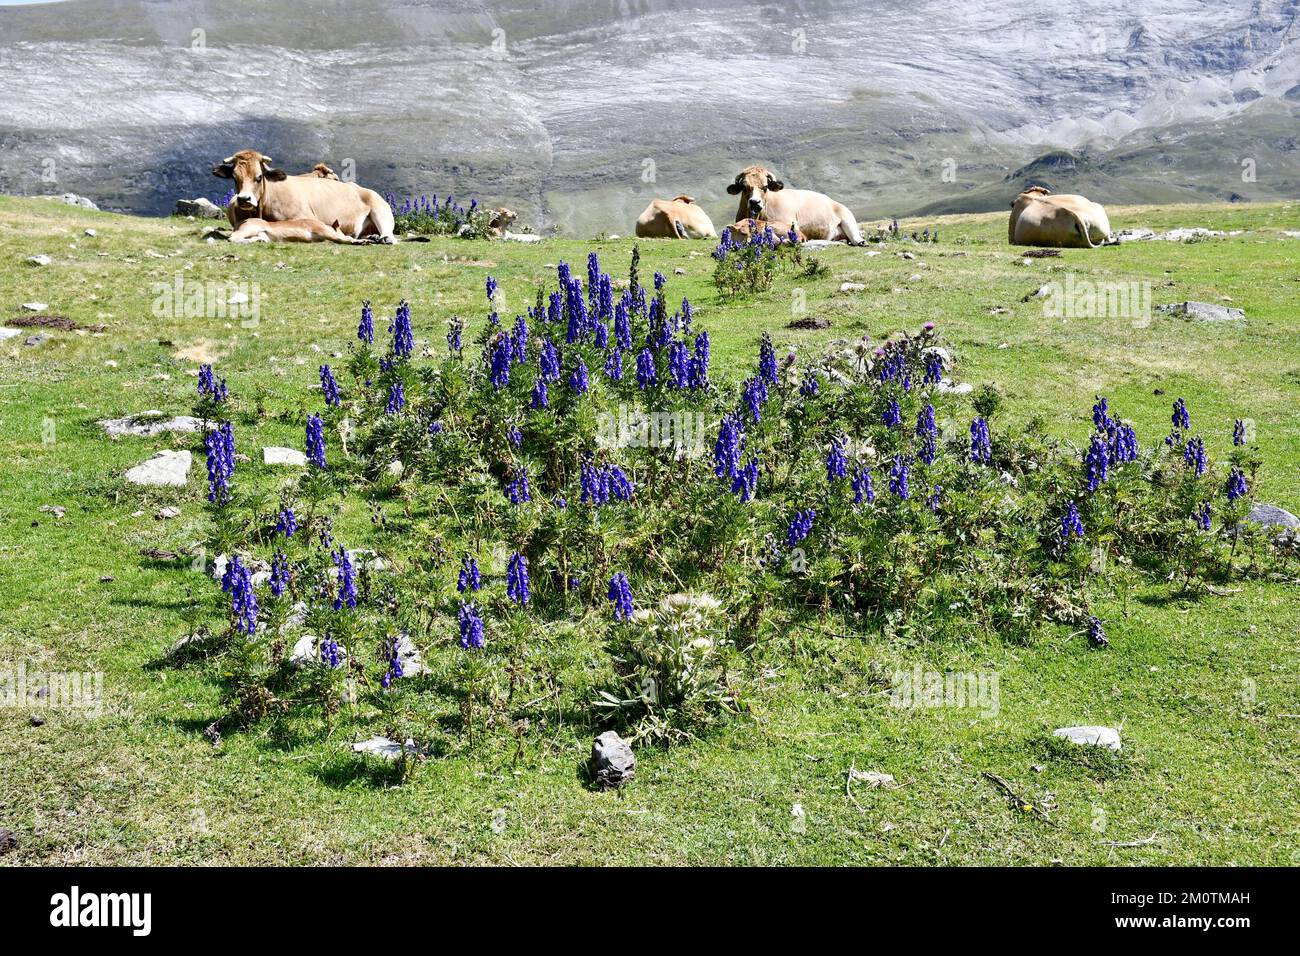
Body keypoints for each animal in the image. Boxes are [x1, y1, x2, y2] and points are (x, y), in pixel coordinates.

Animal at [213, 150, 395, 242]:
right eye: (234, 178)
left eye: (259, 176)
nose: (244, 199)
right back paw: (372, 236)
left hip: (380, 209)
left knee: (388, 232)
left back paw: (383, 238)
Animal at [726, 166, 861, 243]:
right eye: (744, 187)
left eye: (765, 187)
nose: (755, 202)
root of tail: (832, 201)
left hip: (847, 217)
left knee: (855, 236)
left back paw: (861, 242)